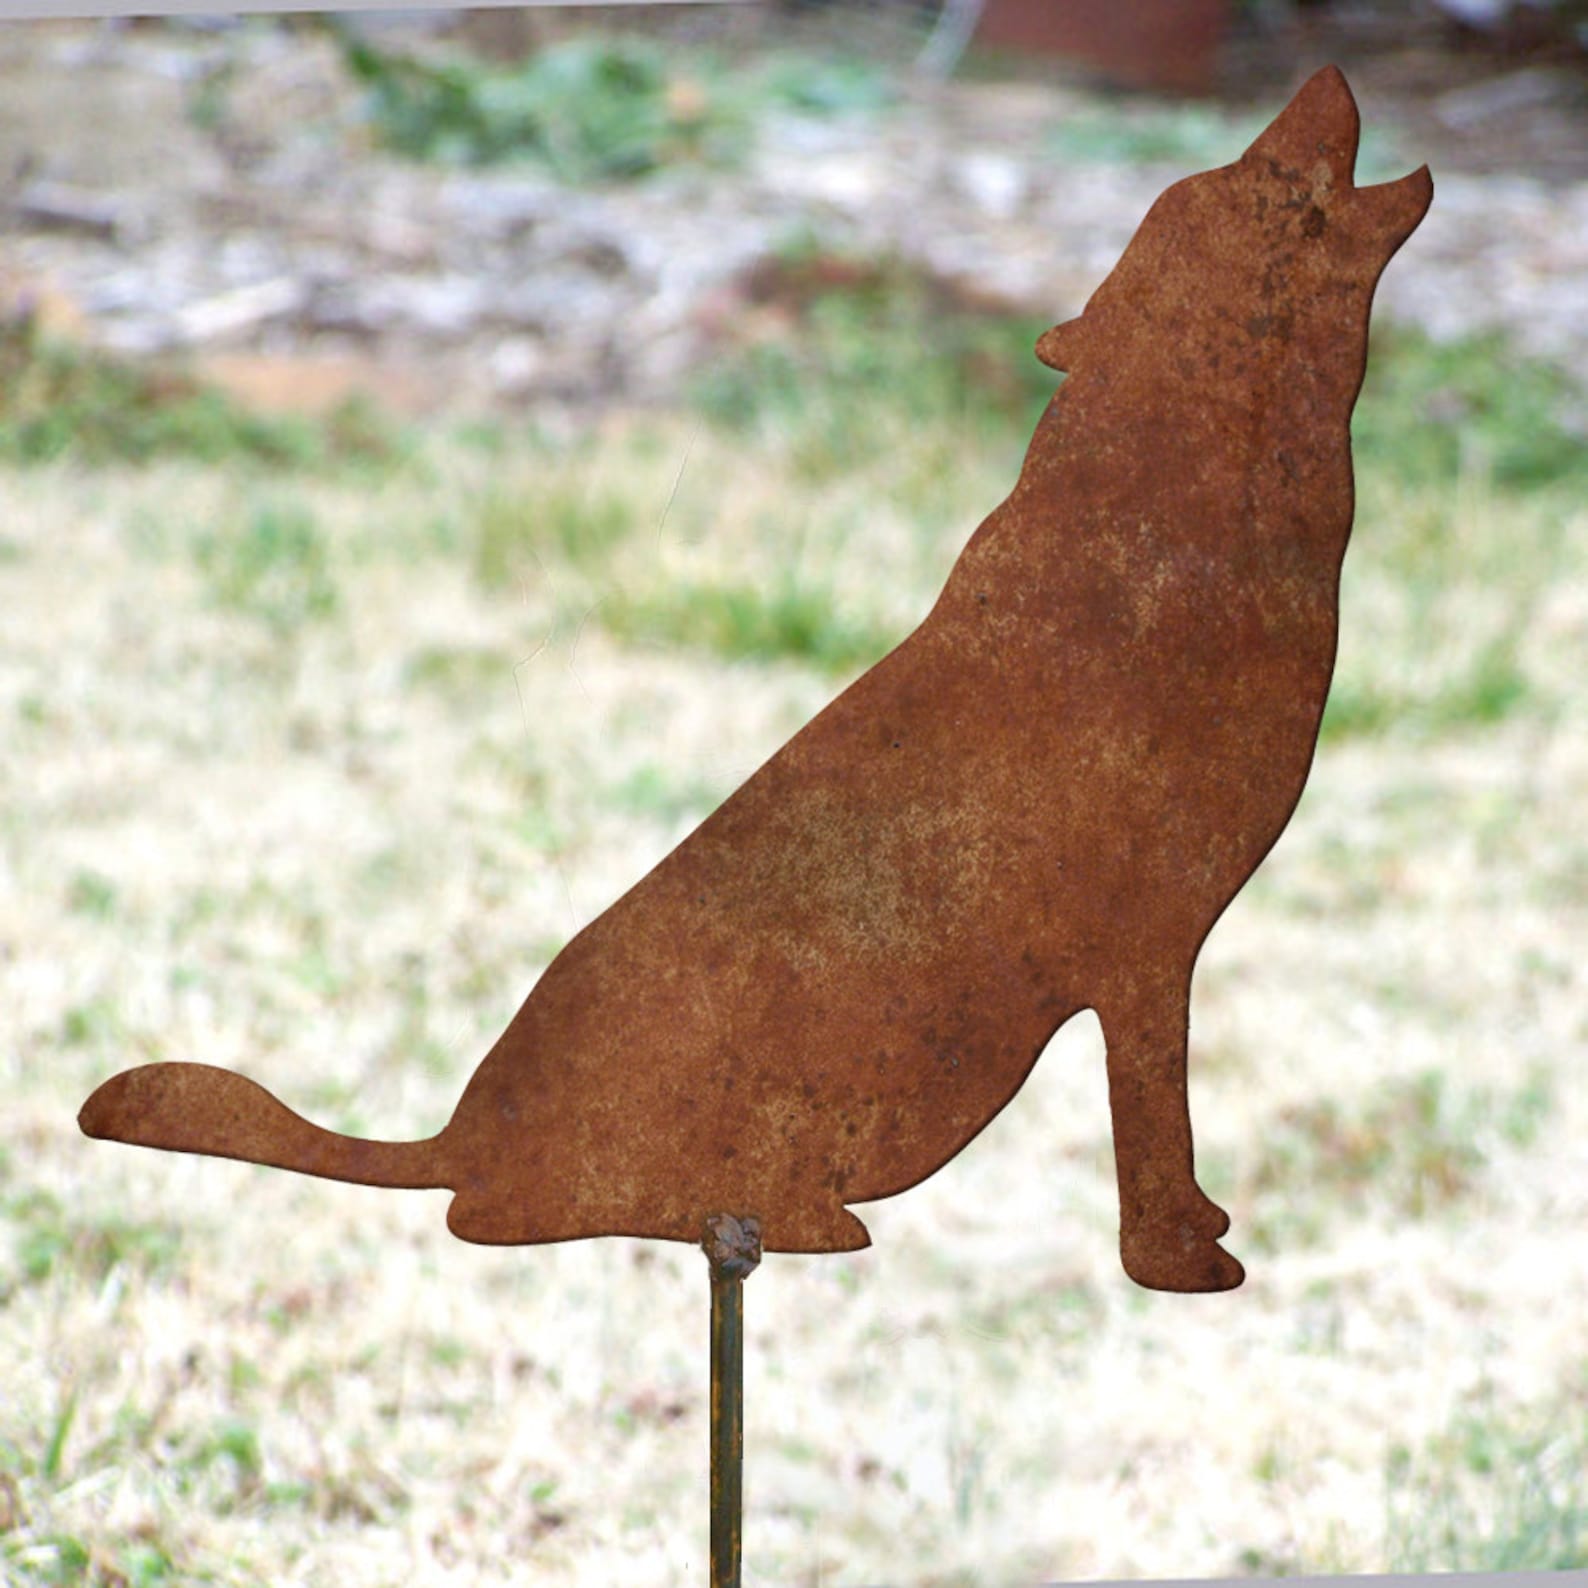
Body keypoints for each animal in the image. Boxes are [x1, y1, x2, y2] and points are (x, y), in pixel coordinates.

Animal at [81, 67, 1432, 1292]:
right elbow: (1151, 1123)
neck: (1170, 524)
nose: (1326, 70)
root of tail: (460, 1129)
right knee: (504, 1214)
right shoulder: (1145, 954)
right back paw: (788, 1216)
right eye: (1249, 185)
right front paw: (1176, 1255)